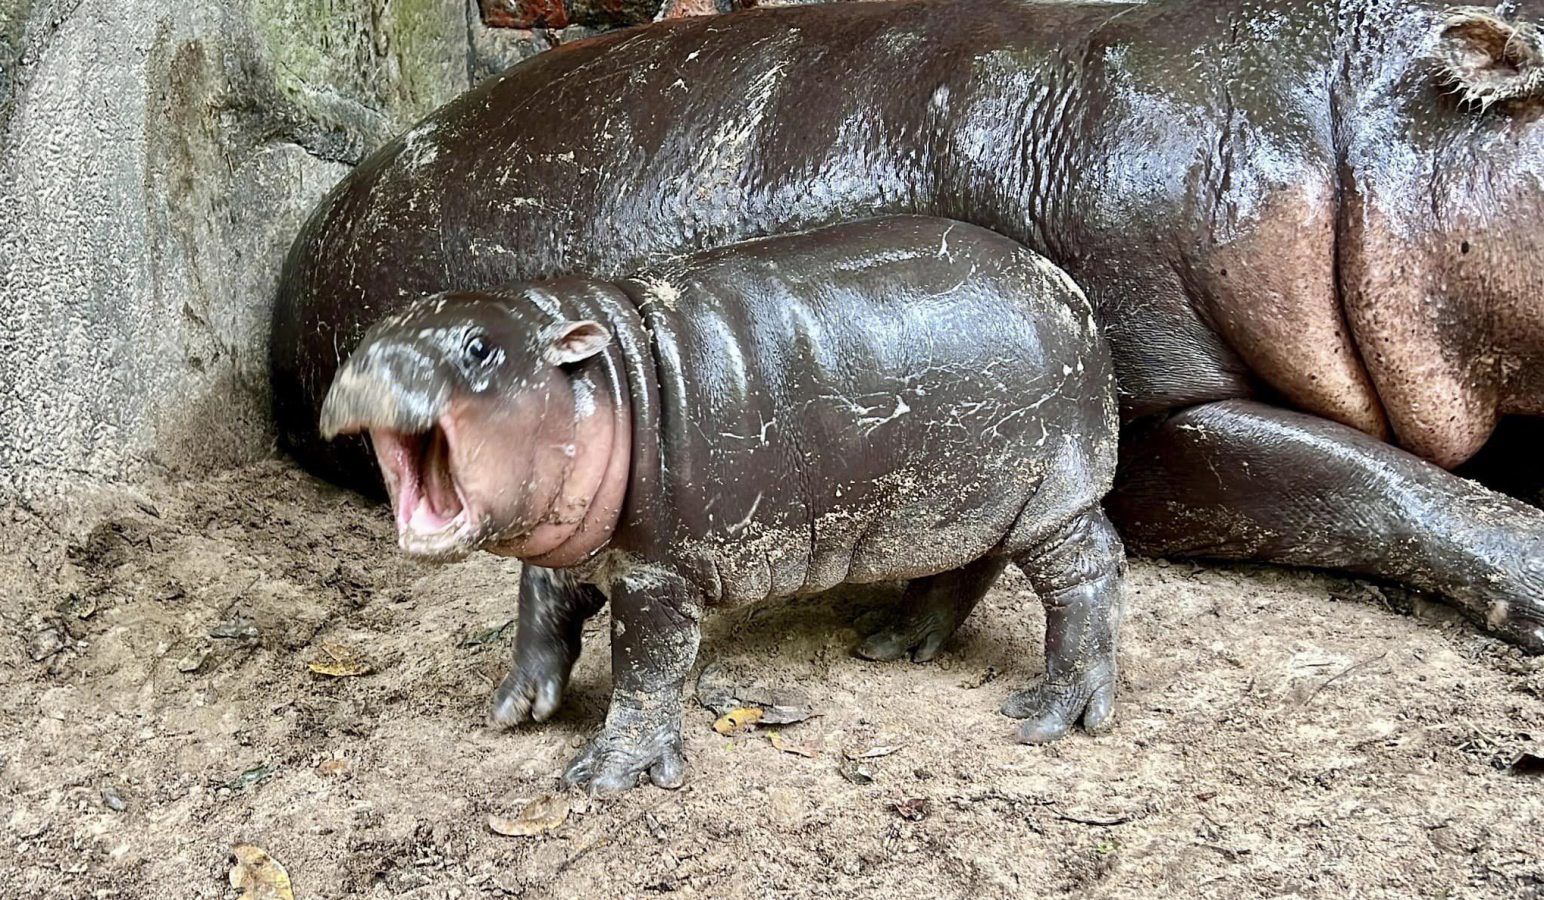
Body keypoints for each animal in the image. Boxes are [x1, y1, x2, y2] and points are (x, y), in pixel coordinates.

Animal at [318, 217, 1123, 791]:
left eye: (479, 348)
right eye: (370, 333)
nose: (370, 365)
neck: (611, 380)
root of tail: (1072, 291)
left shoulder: (655, 575)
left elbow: (649, 669)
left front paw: (605, 776)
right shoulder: (571, 542)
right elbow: (539, 610)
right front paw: (516, 705)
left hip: (1053, 497)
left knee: (1089, 572)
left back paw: (1050, 715)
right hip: (956, 505)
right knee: (966, 567)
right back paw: (891, 640)